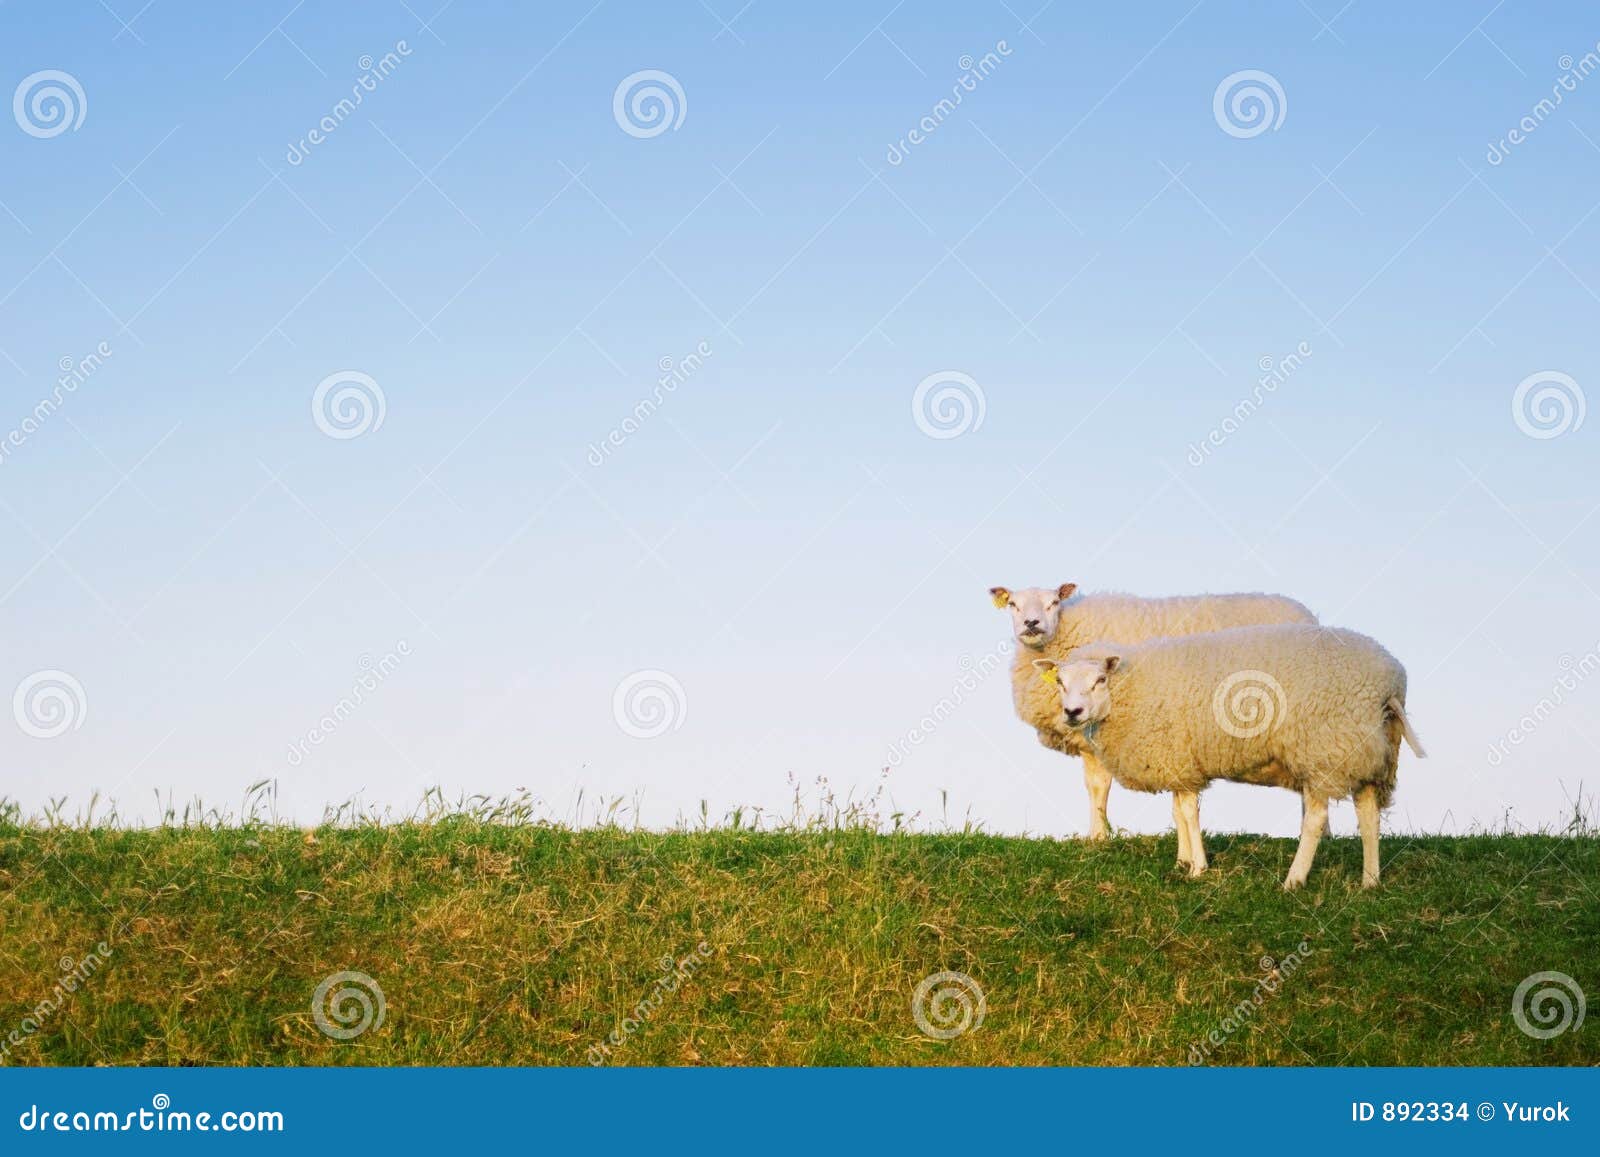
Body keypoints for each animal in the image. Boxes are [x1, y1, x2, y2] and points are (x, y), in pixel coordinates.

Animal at [989, 583, 1317, 860]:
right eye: (1013, 604)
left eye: (1054, 602)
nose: (1032, 624)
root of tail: (1306, 614)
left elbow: (1098, 786)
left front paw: (1099, 837)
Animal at [1031, 623, 1426, 889]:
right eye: (1060, 683)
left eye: (1099, 680)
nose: (1072, 713)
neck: (1130, 688)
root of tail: (1390, 678)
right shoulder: (1181, 761)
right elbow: (1179, 812)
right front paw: (1184, 860)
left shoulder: (1178, 755)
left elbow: (1189, 813)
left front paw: (1198, 868)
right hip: (1366, 751)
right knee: (1369, 815)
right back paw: (1370, 881)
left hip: (1322, 749)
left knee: (1315, 819)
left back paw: (1293, 880)